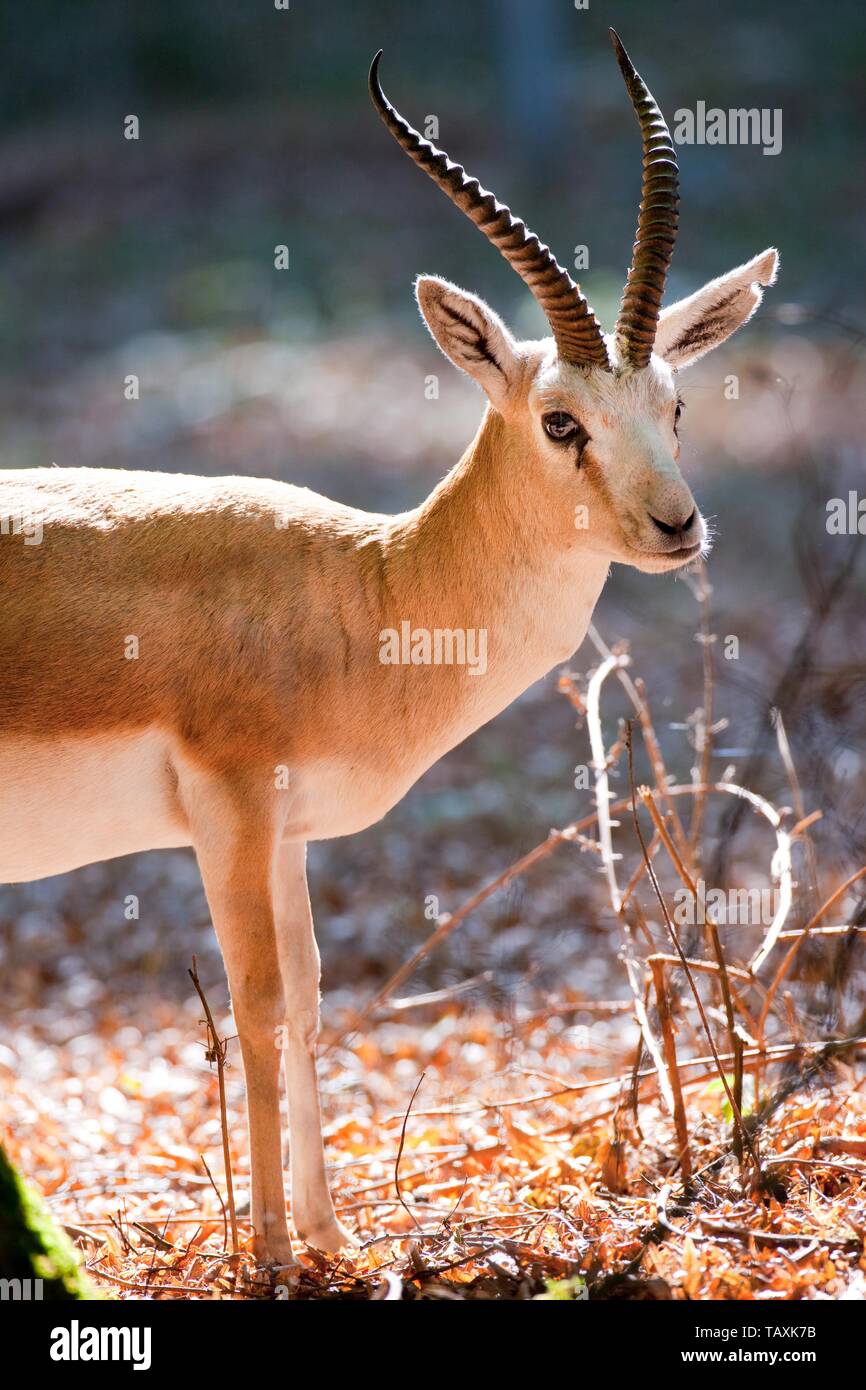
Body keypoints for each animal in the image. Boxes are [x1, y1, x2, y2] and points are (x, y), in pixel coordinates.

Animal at [0, 31, 777, 1264]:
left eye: (674, 403)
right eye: (560, 420)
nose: (679, 526)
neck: (362, 586)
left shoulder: (286, 832)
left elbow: (313, 997)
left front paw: (326, 1236)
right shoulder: (231, 809)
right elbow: (258, 1005)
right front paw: (270, 1255)